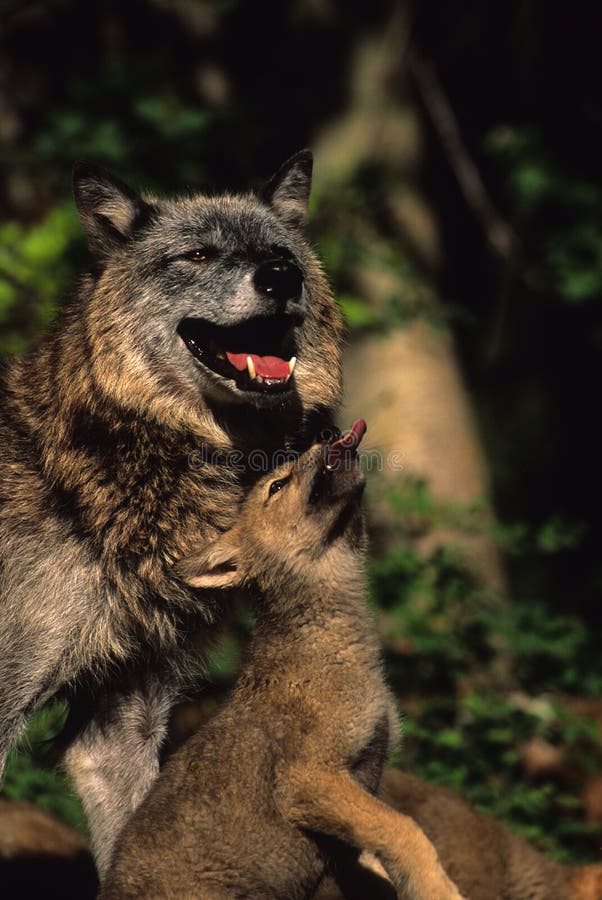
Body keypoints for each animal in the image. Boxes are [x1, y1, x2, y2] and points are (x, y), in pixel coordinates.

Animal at [100, 423, 463, 900]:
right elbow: (407, 831)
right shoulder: (309, 779)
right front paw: (441, 888)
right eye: (277, 485)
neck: (325, 638)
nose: (329, 436)